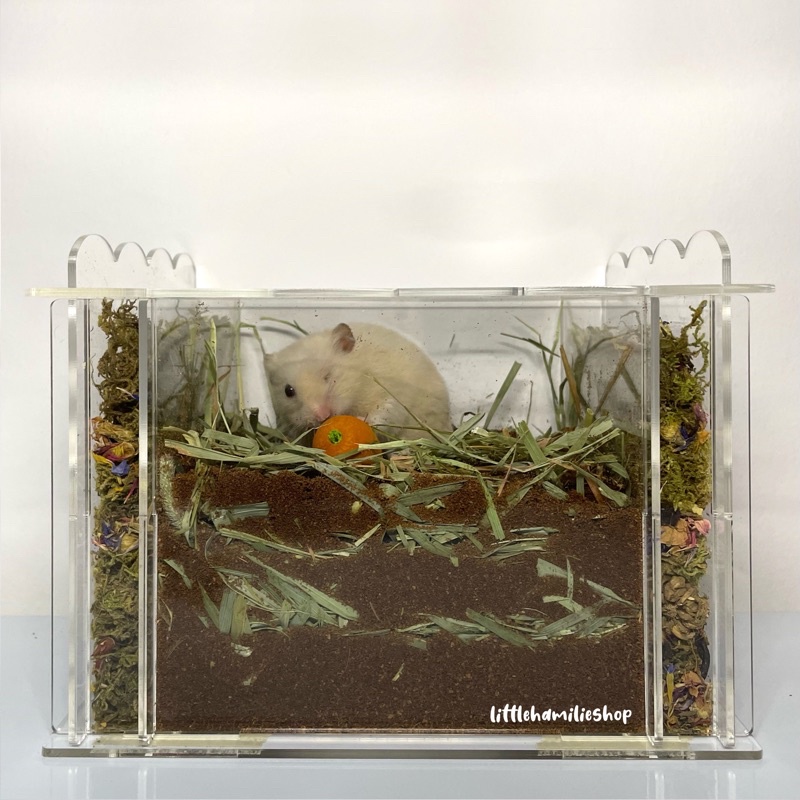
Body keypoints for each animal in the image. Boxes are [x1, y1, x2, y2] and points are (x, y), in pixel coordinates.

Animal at [264, 322, 451, 440]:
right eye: (288, 391)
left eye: (328, 376)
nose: (323, 416)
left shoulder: (393, 397)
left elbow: (382, 414)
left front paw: (361, 419)